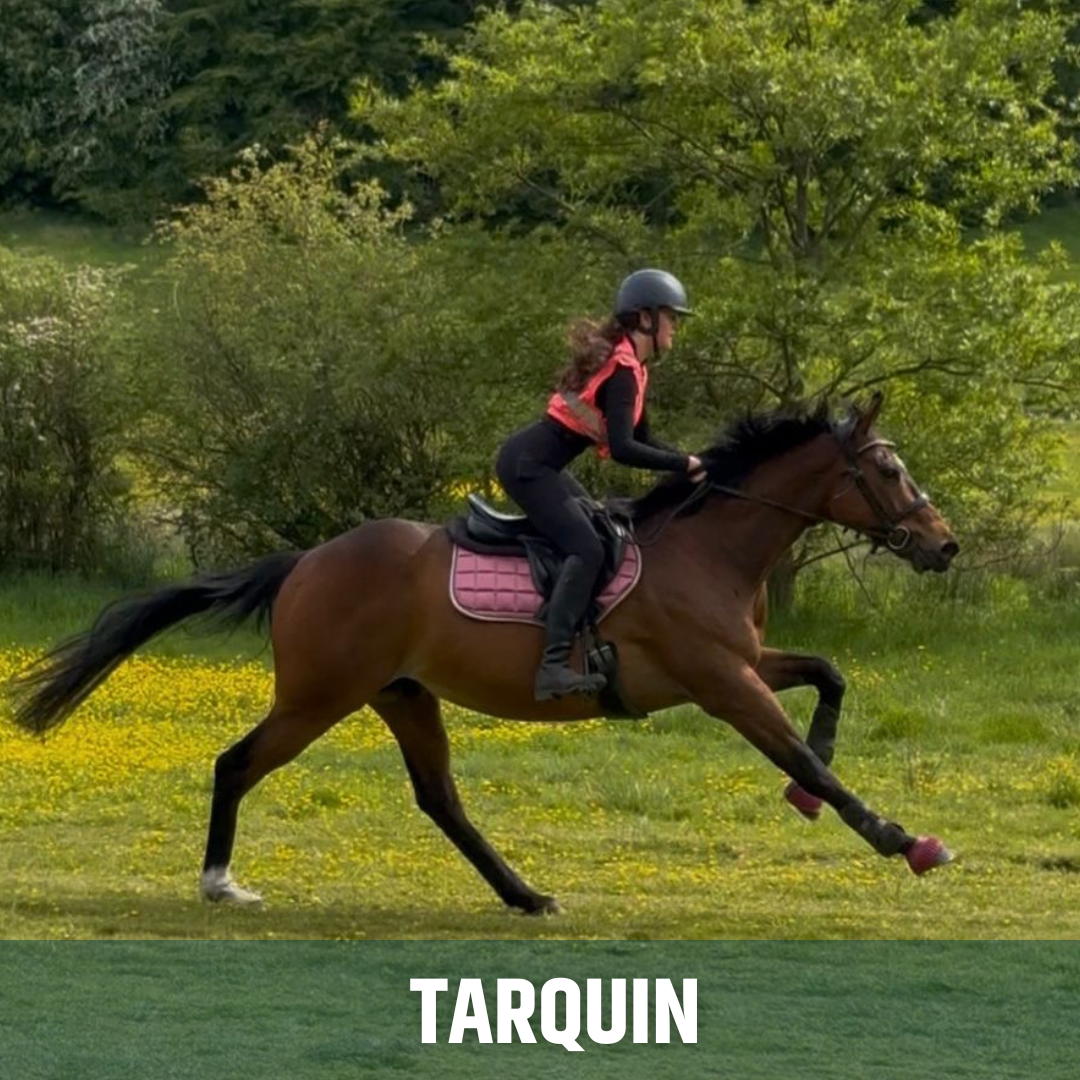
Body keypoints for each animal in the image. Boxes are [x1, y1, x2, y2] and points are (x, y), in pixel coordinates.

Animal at [9, 393, 959, 914]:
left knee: (440, 799)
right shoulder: (721, 682)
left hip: (402, 693)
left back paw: (524, 894)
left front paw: (814, 797)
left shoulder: (739, 664)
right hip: (320, 695)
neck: (712, 545)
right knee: (236, 762)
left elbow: (829, 680)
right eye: (889, 471)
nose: (943, 545)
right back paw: (218, 883)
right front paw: (901, 839)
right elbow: (806, 753)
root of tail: (304, 562)